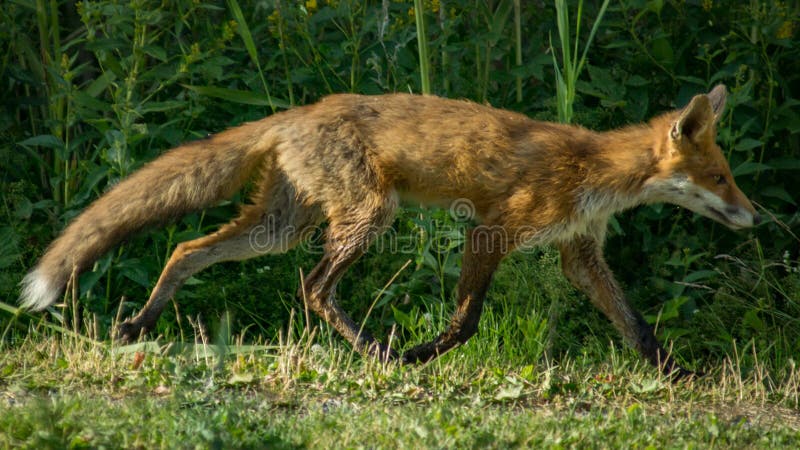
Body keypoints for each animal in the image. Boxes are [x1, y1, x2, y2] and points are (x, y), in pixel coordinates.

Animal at [20, 85, 759, 377]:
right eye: (721, 177)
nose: (756, 216)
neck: (593, 169)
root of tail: (295, 113)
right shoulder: (493, 229)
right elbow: (466, 320)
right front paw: (420, 356)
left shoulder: (579, 252)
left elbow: (635, 325)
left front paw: (679, 375)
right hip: (369, 214)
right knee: (314, 287)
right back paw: (376, 353)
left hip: (279, 226)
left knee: (184, 248)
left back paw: (139, 325)